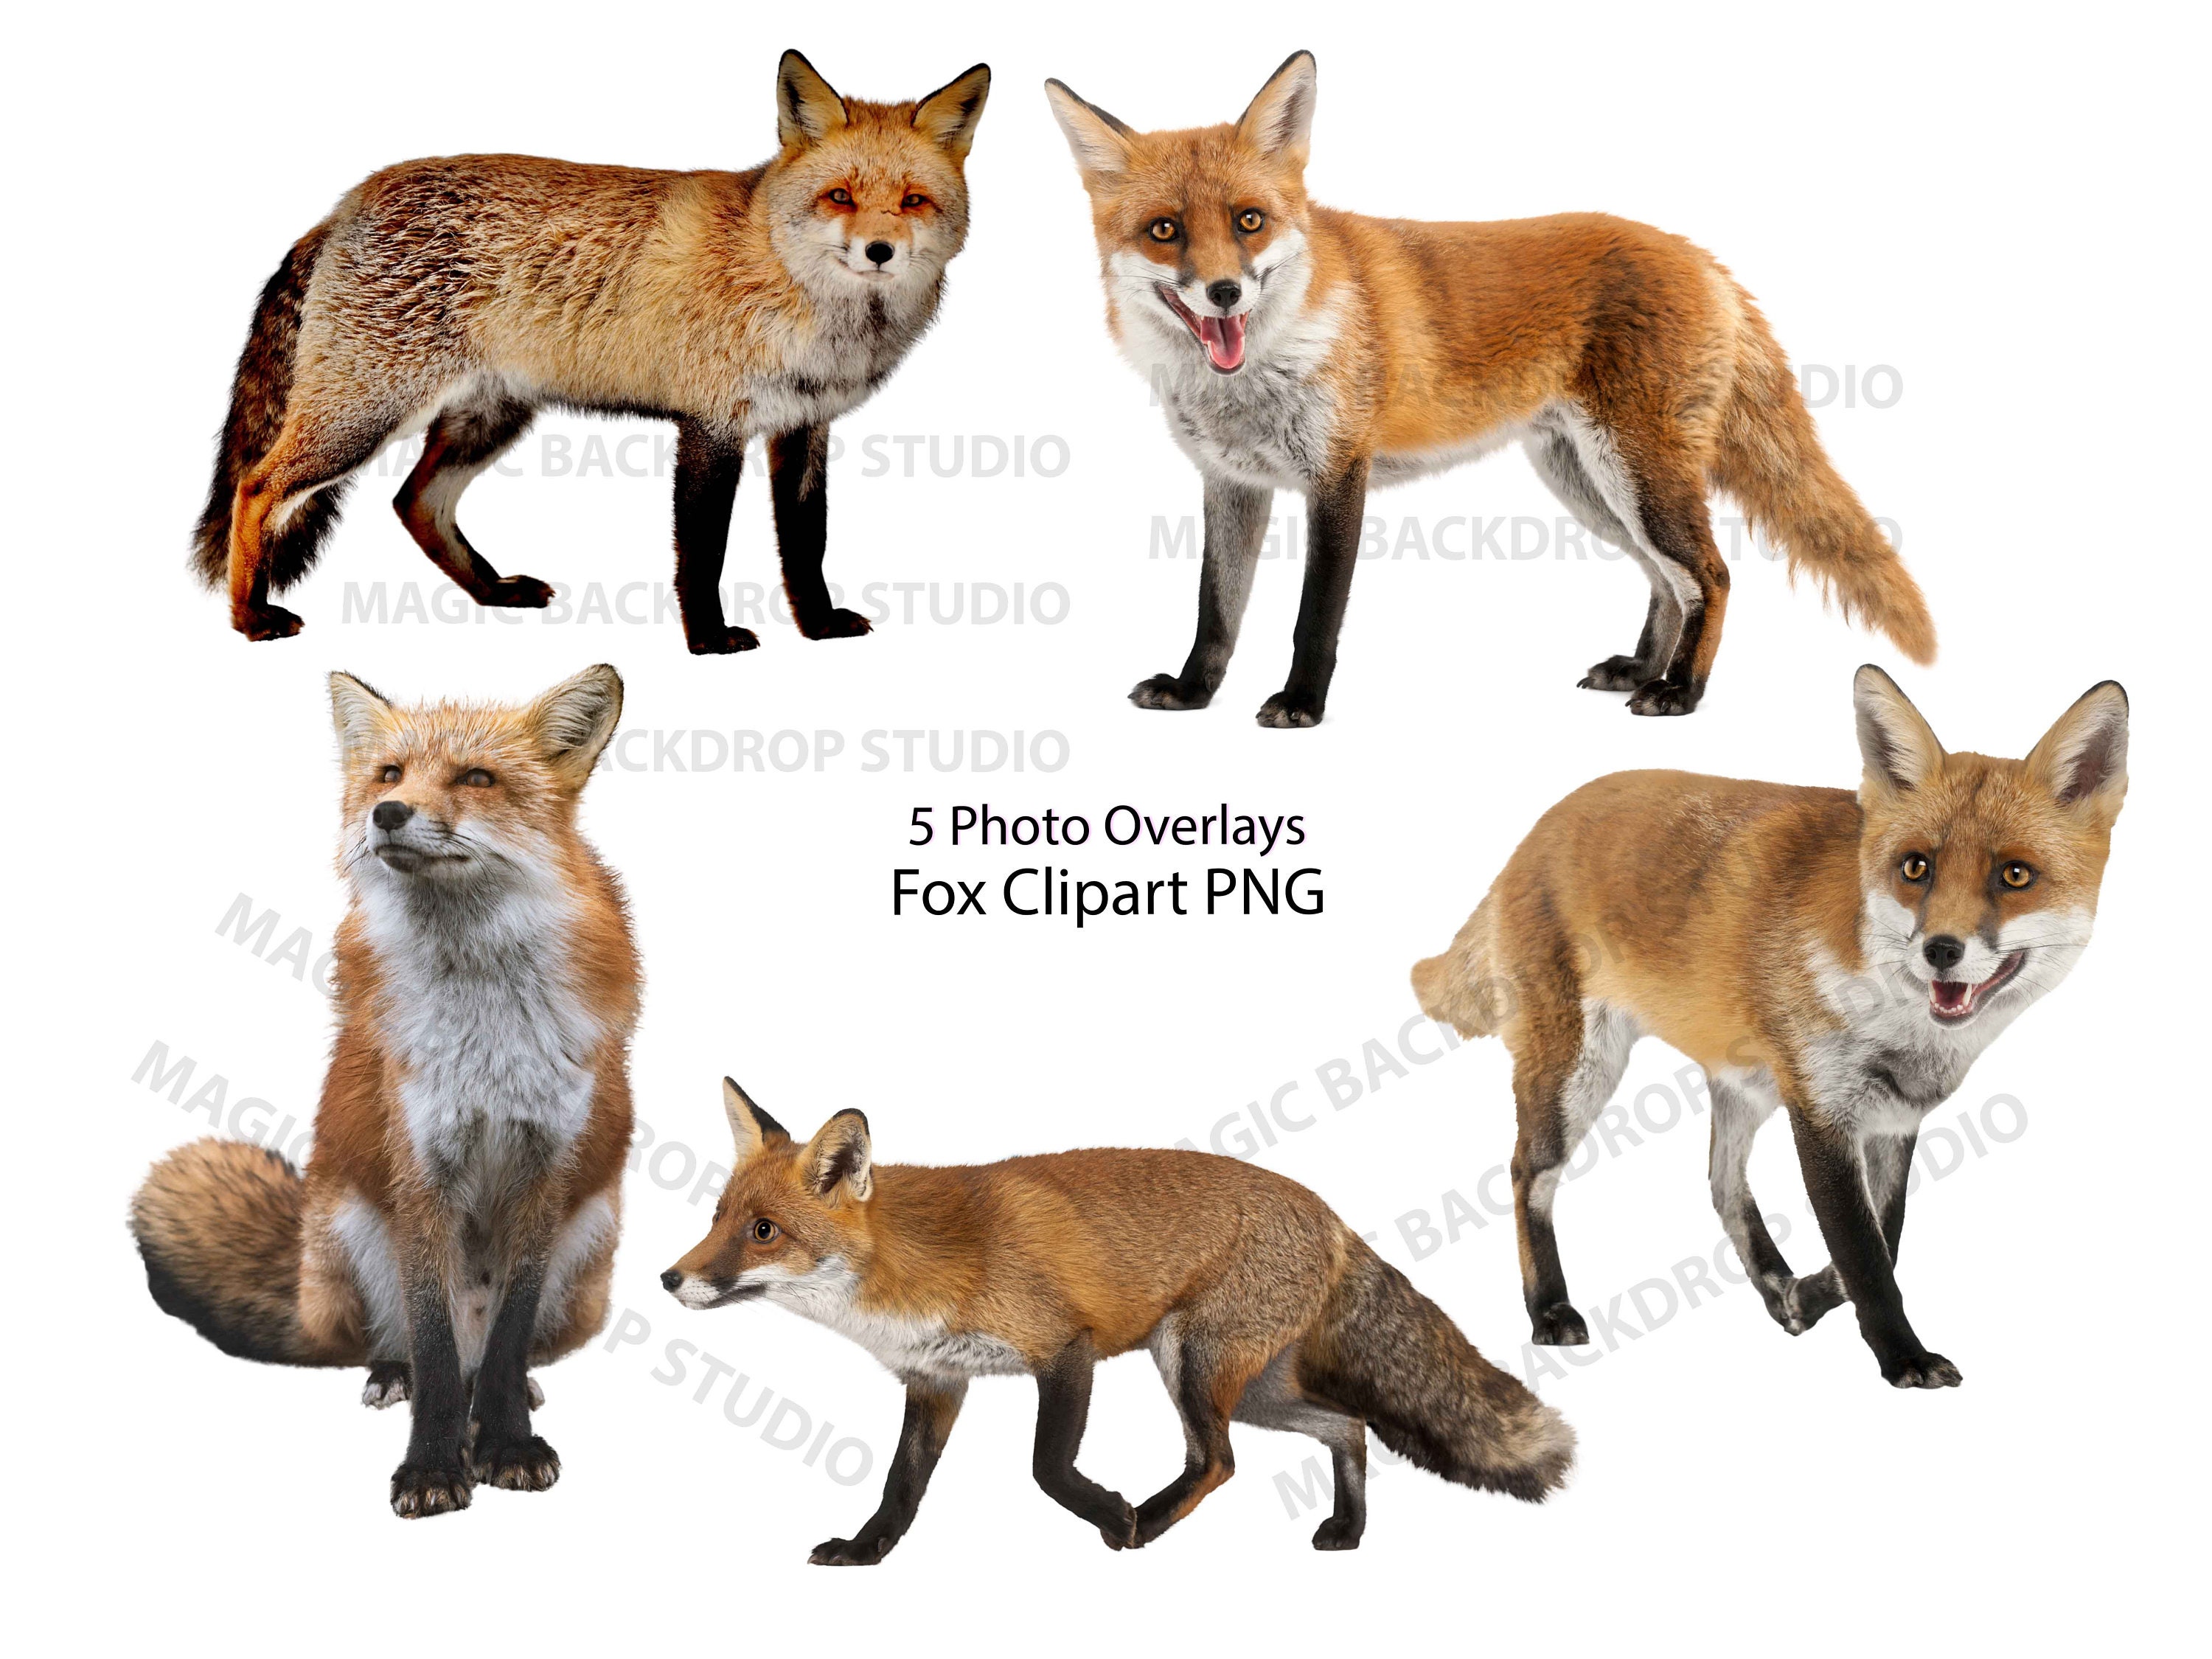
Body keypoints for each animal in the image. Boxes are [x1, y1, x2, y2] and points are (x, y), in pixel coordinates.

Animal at [130, 665, 639, 1517]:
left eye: (476, 778)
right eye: (391, 775)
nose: (388, 814)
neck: (483, 1017)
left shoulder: (545, 1165)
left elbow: (507, 1342)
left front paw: (506, 1443)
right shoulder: (421, 1164)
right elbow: (432, 1343)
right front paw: (433, 1465)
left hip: (588, 1252)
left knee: (492, 1353)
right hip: (351, 1232)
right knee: (410, 1346)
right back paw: (396, 1376)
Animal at [194, 50, 989, 650]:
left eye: (913, 201)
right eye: (840, 197)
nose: (880, 250)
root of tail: (345, 204)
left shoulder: (803, 425)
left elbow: (806, 541)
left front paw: (817, 626)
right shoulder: (711, 425)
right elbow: (702, 550)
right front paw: (709, 641)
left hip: (488, 418)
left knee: (414, 501)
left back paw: (492, 591)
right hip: (364, 415)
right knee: (256, 487)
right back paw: (247, 618)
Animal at [662, 1079, 1572, 1560]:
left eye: (764, 1232)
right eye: (716, 1217)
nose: (670, 1278)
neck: (908, 1268)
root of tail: (1332, 1217)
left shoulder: (1067, 1348)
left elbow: (1046, 1467)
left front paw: (1111, 1513)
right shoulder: (938, 1380)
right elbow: (901, 1486)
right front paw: (866, 1552)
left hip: (1191, 1362)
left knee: (1218, 1462)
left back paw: (1151, 1523)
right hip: (1255, 1387)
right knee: (1346, 1427)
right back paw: (1348, 1530)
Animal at [1045, 53, 1936, 727]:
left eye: (1249, 221)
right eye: (1165, 231)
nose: (1225, 293)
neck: (1257, 372)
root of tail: (1697, 254)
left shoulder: (1338, 474)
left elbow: (1313, 619)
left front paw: (1301, 705)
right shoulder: (1231, 482)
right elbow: (1215, 610)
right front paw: (1194, 692)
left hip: (1638, 478)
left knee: (1711, 576)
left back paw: (1681, 690)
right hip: (1588, 483)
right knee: (1666, 582)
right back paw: (1642, 666)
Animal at [1410, 666, 2128, 1387]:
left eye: (2015, 875)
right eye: (1915, 868)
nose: (1941, 950)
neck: (1898, 1024)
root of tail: (1543, 821)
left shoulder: (1891, 1120)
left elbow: (1885, 1236)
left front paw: (1805, 1298)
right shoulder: (1820, 1110)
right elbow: (1866, 1258)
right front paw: (1904, 1358)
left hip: (1743, 1087)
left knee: (1721, 1184)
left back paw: (1775, 1281)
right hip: (1579, 1077)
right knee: (1527, 1173)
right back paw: (1549, 1308)